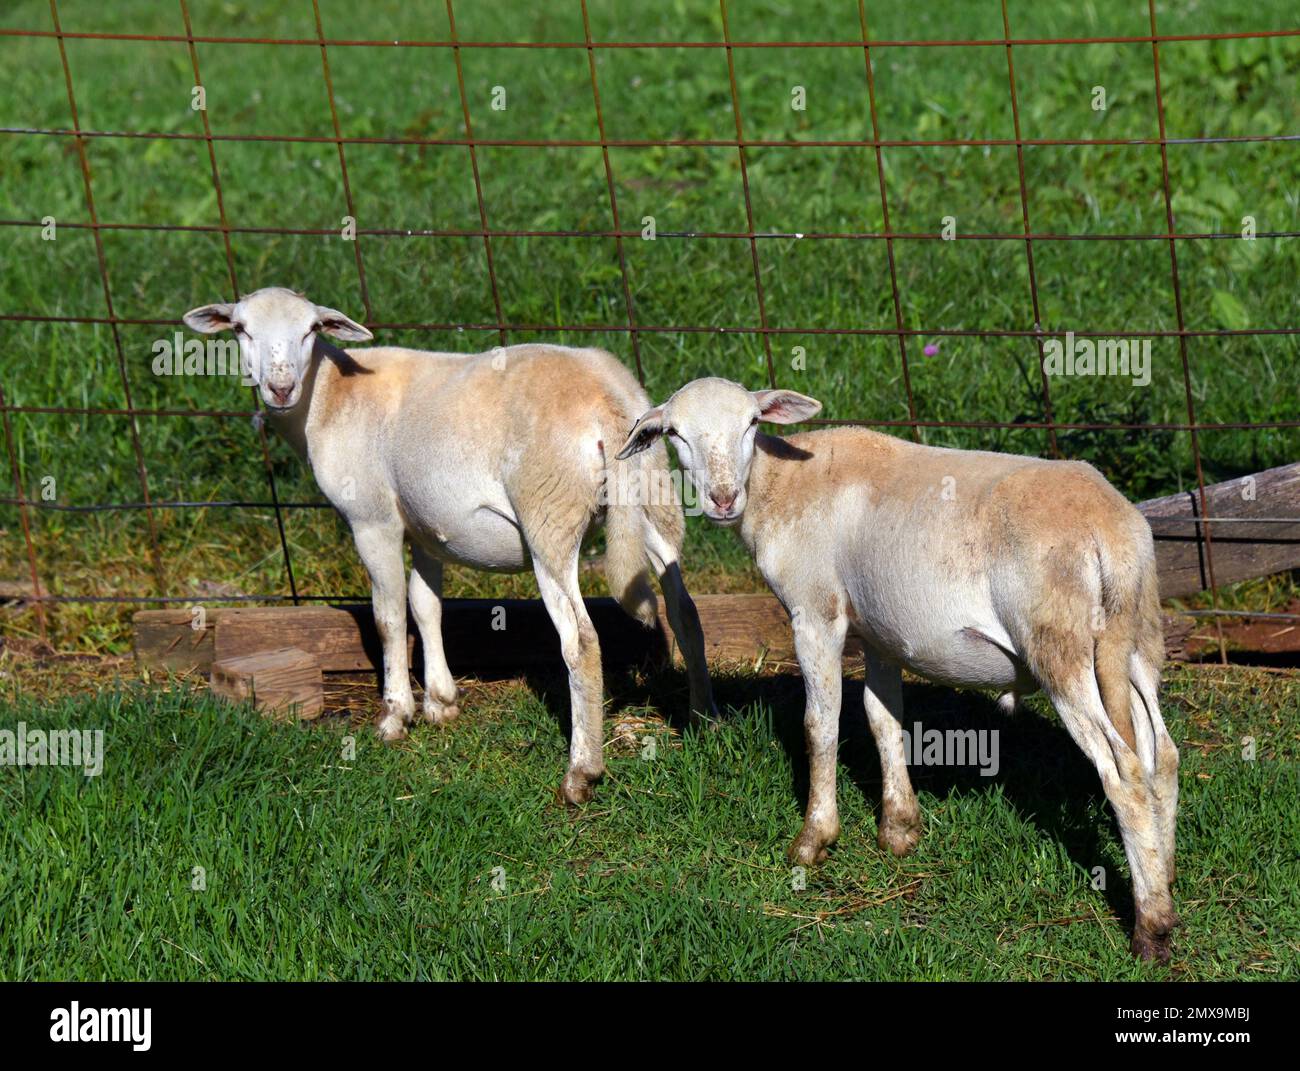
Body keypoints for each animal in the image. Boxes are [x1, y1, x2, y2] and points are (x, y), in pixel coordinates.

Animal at [183, 287, 715, 805]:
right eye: (241, 329)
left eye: (311, 329)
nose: (280, 388)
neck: (330, 397)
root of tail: (607, 401)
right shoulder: (427, 529)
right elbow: (426, 606)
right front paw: (440, 701)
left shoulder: (373, 520)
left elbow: (389, 617)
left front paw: (395, 715)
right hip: (656, 505)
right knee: (685, 614)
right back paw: (703, 721)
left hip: (549, 517)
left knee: (580, 642)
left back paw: (580, 774)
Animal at [617, 376, 1179, 961]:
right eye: (675, 434)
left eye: (751, 423)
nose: (724, 499)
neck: (781, 485)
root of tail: (1110, 535)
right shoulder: (879, 630)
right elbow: (881, 716)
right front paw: (899, 828)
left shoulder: (816, 611)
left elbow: (821, 724)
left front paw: (815, 838)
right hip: (1137, 639)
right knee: (1162, 757)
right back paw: (1163, 876)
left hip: (1060, 645)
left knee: (1124, 772)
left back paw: (1151, 927)